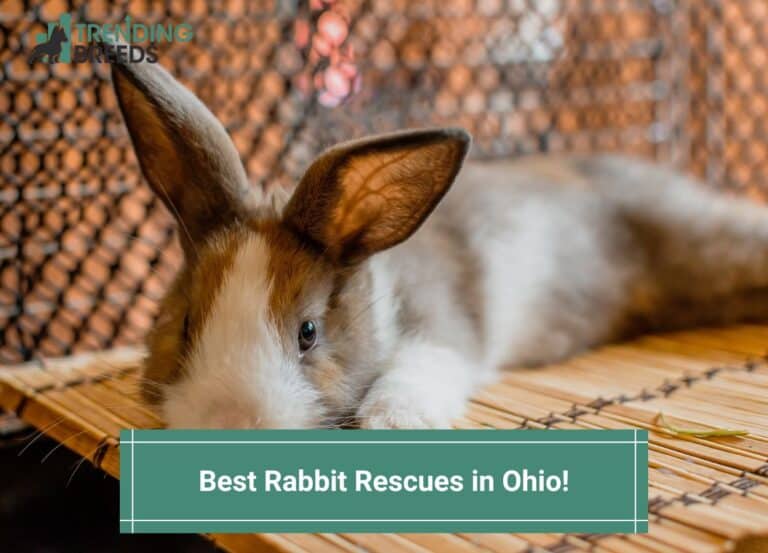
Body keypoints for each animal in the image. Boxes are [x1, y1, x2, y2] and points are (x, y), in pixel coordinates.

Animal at [111, 56, 768, 429]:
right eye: (186, 324)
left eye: (308, 333)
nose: (231, 421)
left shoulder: (443, 326)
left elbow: (424, 367)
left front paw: (393, 421)